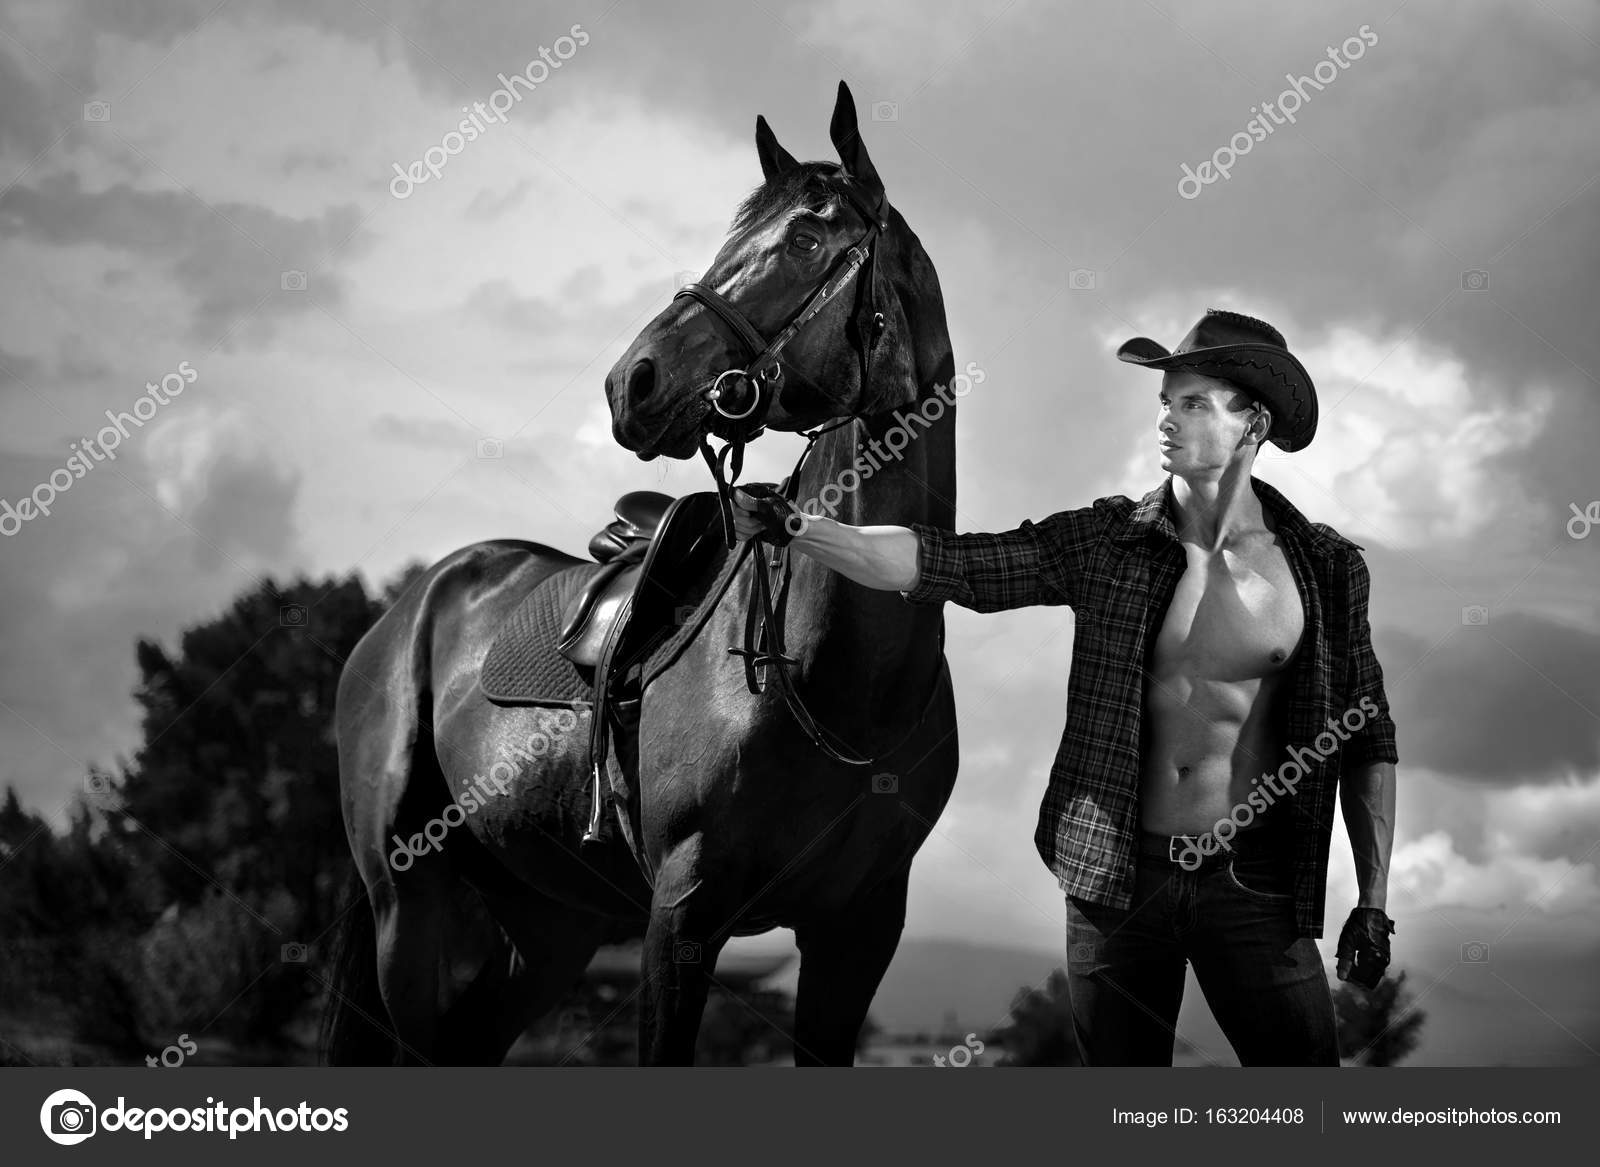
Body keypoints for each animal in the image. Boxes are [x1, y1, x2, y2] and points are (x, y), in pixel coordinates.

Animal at [321, 80, 959, 1066]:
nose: (635, 381)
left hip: (546, 923)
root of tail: (407, 610)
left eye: (804, 241)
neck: (849, 679)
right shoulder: (684, 913)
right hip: (410, 909)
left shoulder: (856, 931)